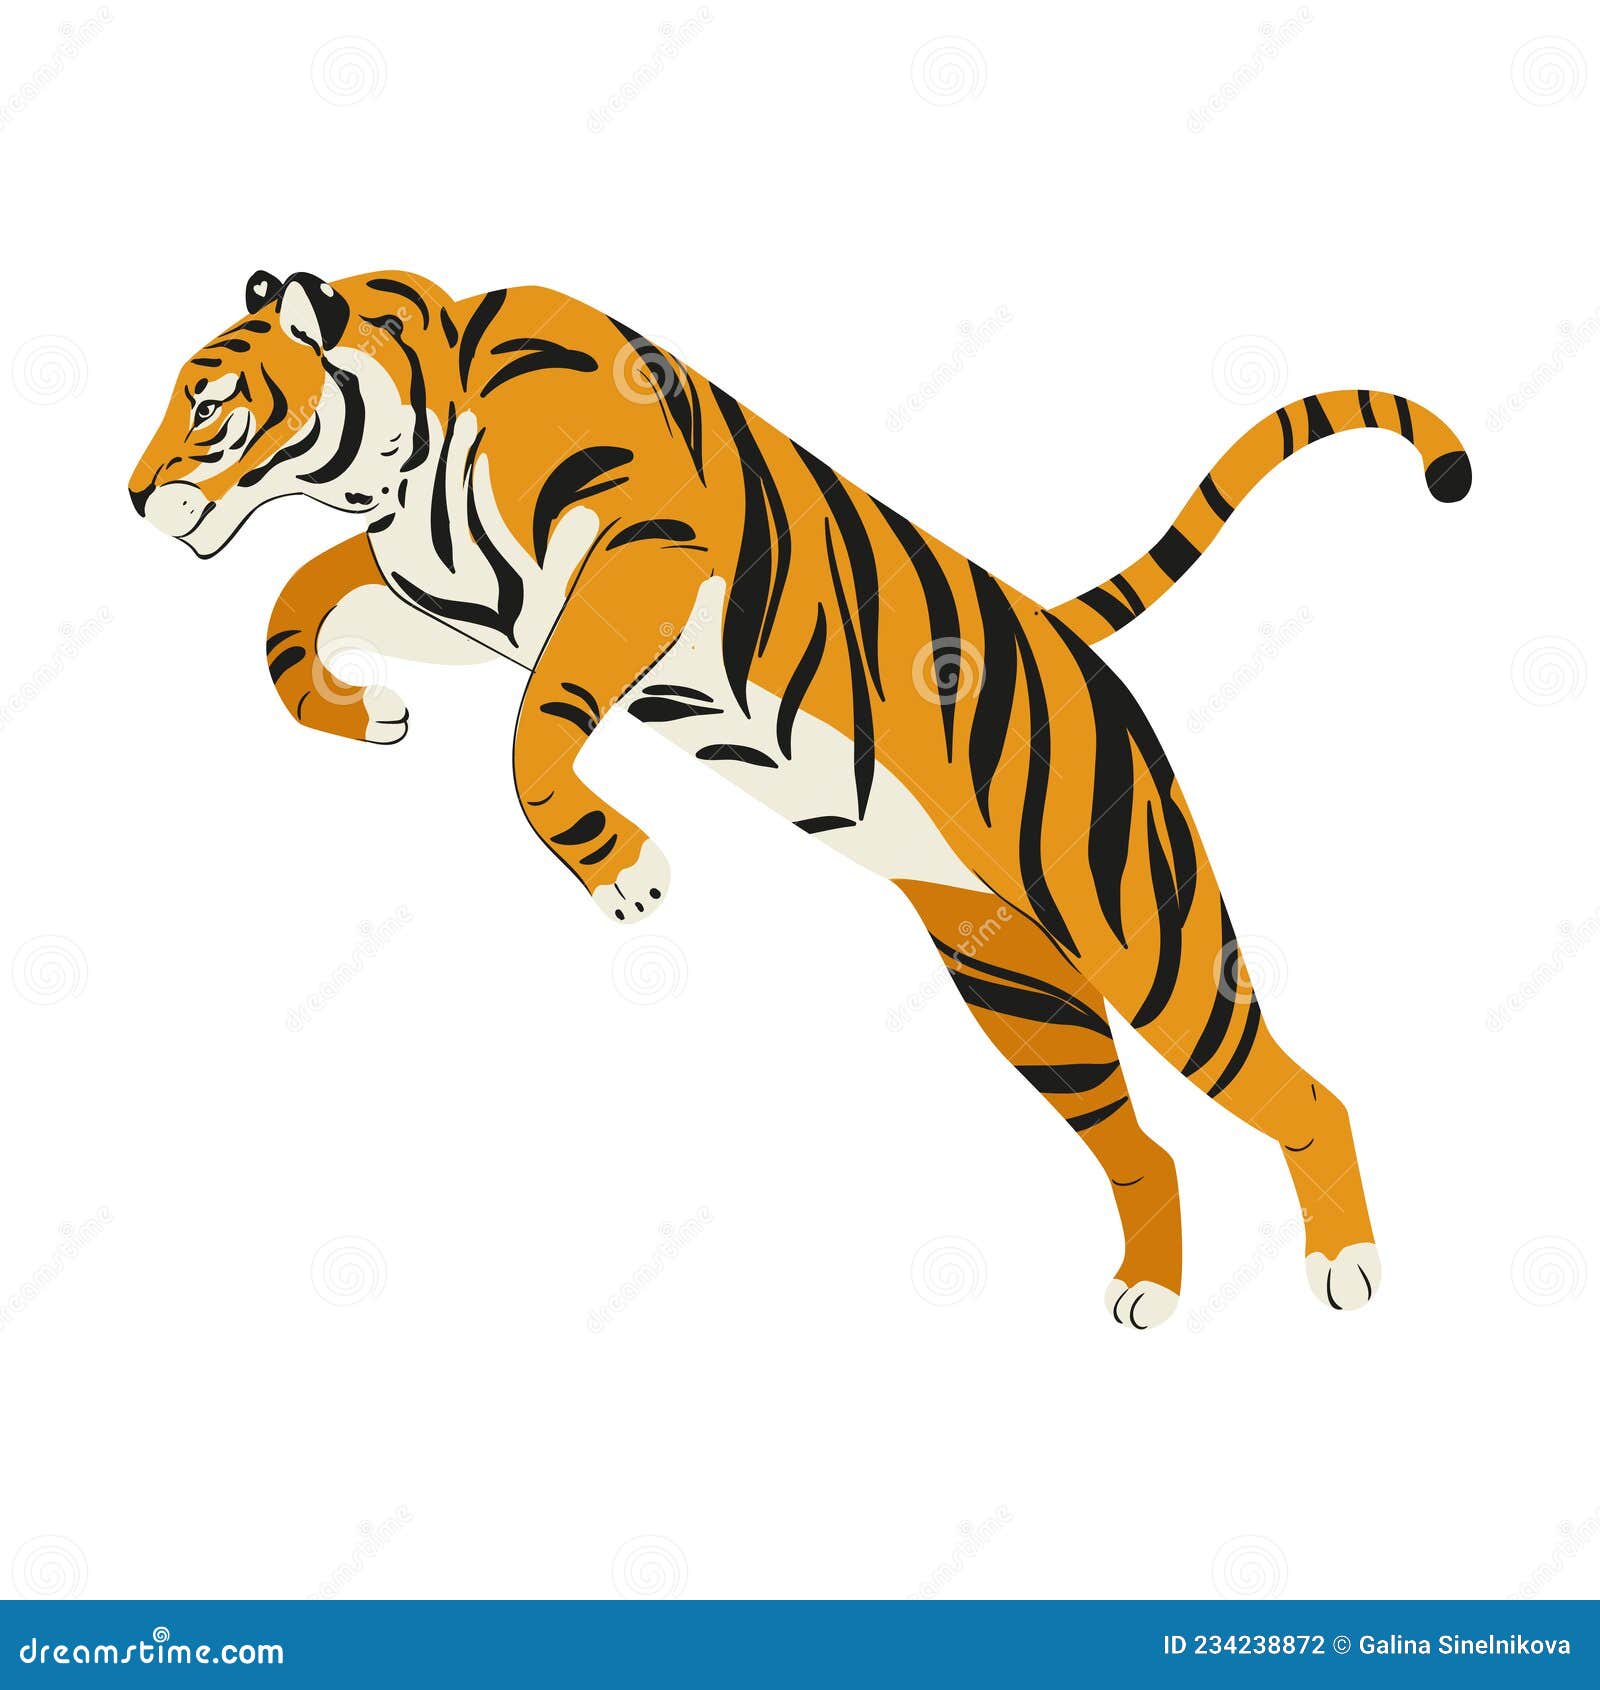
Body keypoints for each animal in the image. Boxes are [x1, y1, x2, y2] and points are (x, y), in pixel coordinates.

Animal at [128, 270, 1471, 1329]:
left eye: (207, 403)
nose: (133, 499)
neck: (402, 462)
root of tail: (1063, 632)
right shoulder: (458, 604)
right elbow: (293, 611)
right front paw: (367, 710)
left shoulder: (641, 553)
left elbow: (528, 747)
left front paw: (623, 869)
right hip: (1013, 978)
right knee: (1138, 1147)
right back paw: (1149, 1291)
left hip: (1138, 934)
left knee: (1303, 1090)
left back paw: (1348, 1264)